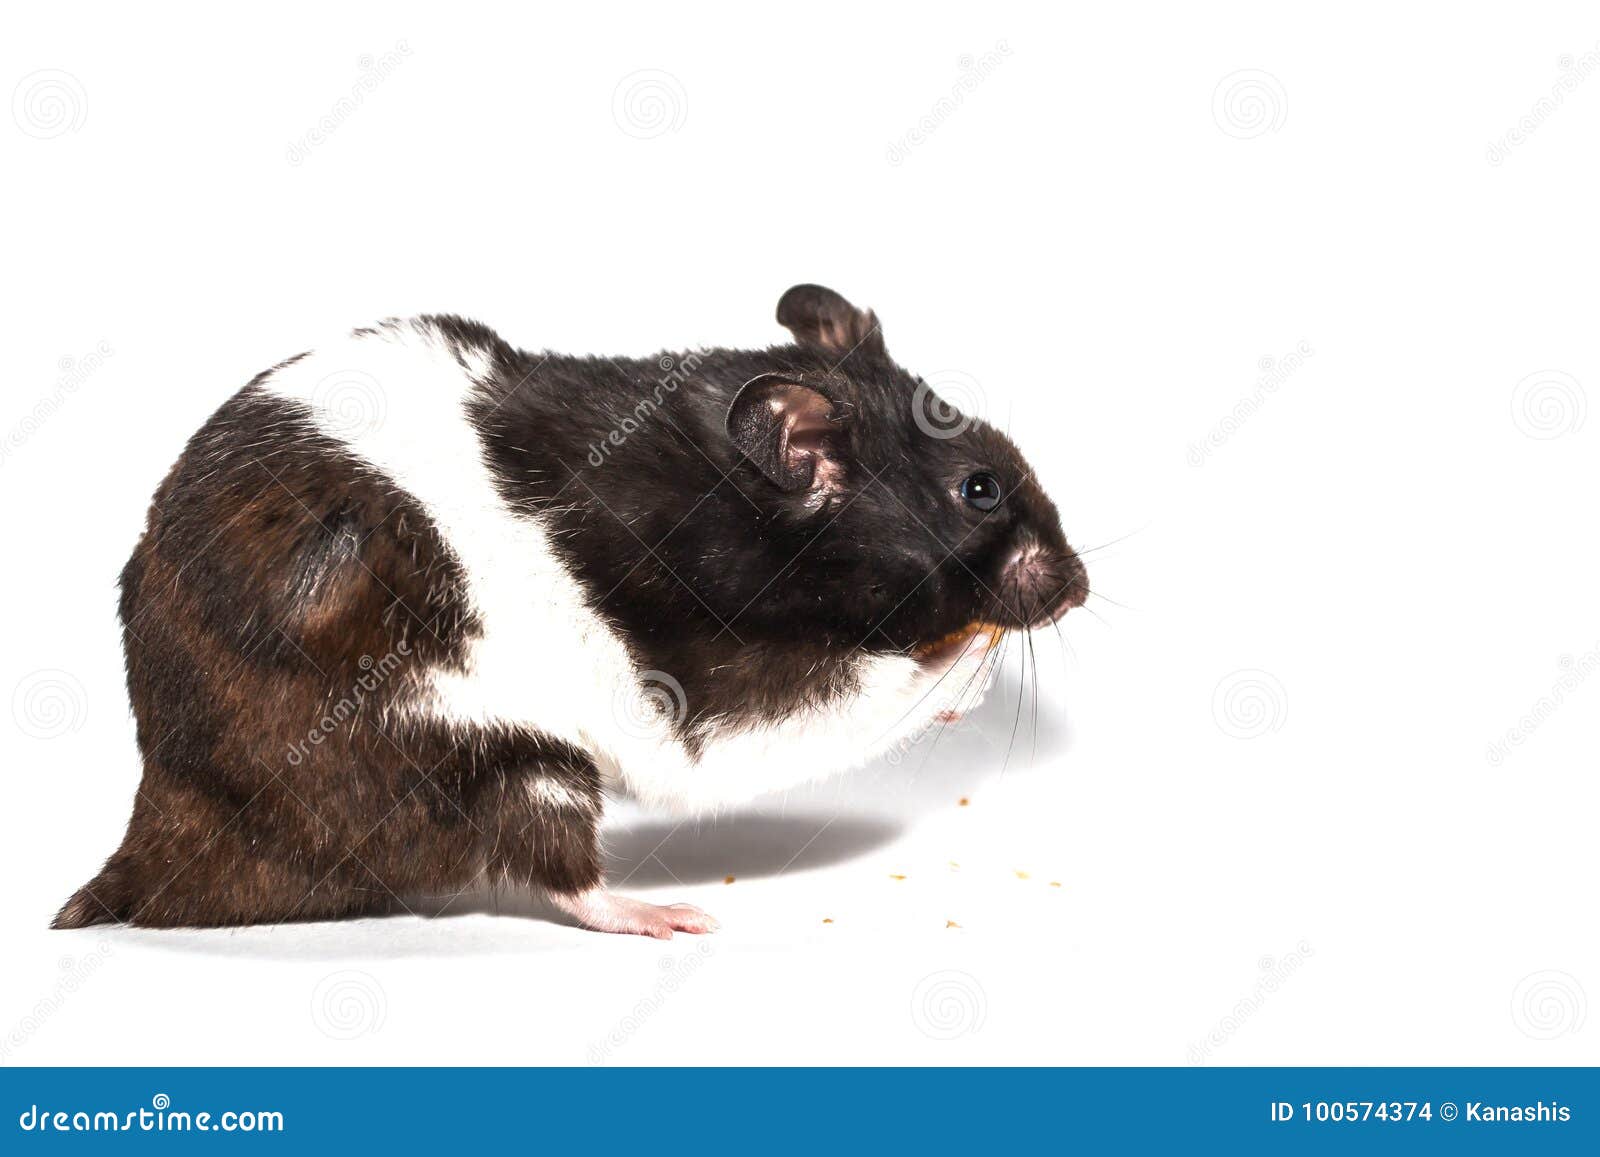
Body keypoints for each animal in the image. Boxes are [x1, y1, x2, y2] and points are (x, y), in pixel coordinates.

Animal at [52, 284, 1087, 938]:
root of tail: (155, 844)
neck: (732, 500)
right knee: (559, 867)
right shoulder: (698, 700)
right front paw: (972, 661)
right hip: (491, 760)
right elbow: (855, 694)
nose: (1077, 585)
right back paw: (670, 915)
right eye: (978, 489)